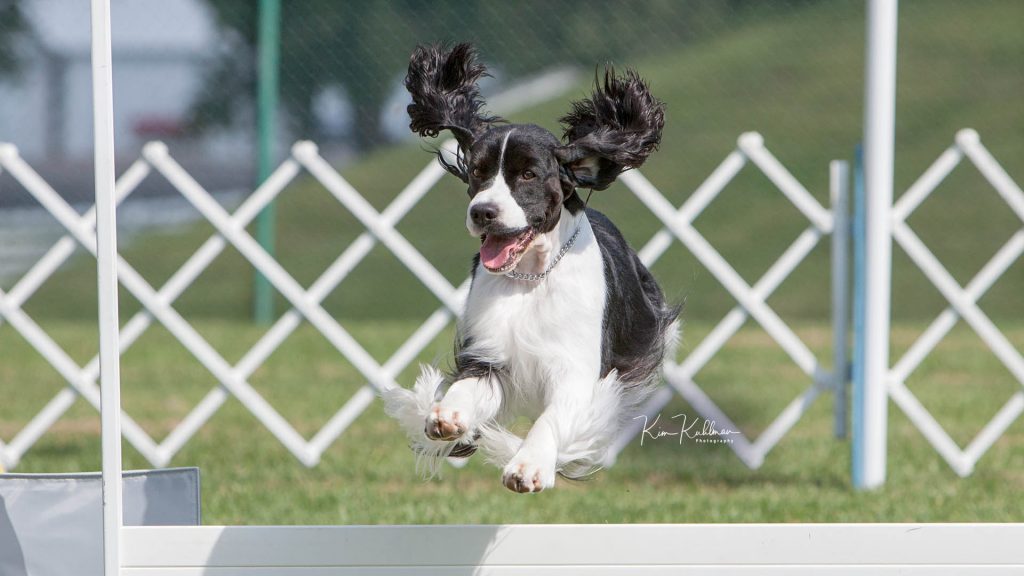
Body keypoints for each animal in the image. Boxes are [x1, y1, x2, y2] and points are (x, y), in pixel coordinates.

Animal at [380, 43, 675, 494]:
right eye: (478, 172)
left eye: (529, 174)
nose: (482, 212)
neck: (531, 278)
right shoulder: (490, 353)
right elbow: (469, 386)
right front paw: (447, 417)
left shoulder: (576, 370)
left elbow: (552, 418)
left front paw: (528, 466)